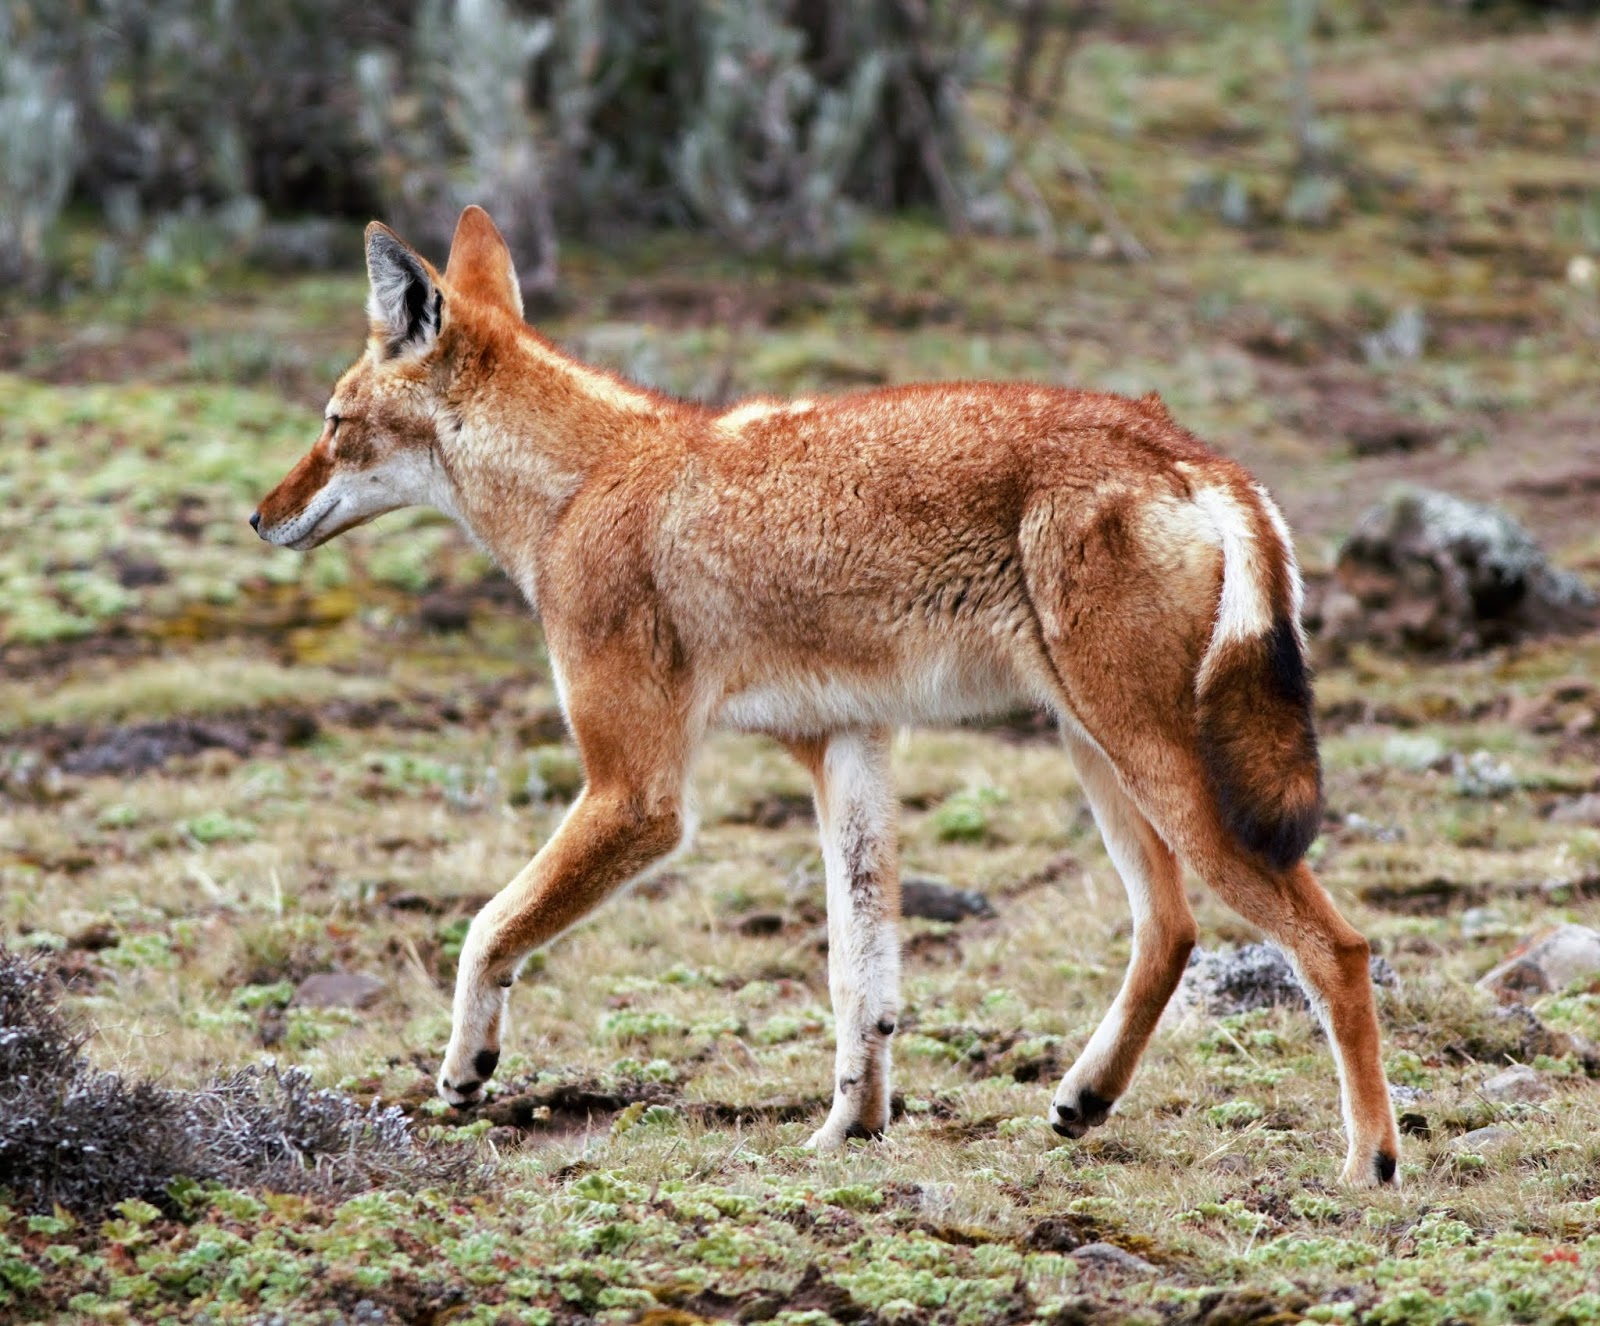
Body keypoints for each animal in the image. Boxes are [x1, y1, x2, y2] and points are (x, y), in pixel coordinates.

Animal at [252, 206, 1399, 1185]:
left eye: (333, 422)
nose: (260, 516)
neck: (581, 488)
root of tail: (1185, 447)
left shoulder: (637, 797)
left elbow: (487, 927)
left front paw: (464, 1068)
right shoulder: (842, 748)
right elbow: (863, 983)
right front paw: (852, 1127)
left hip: (1156, 771)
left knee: (1335, 947)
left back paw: (1369, 1166)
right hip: (1099, 755)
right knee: (1171, 929)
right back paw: (1083, 1100)